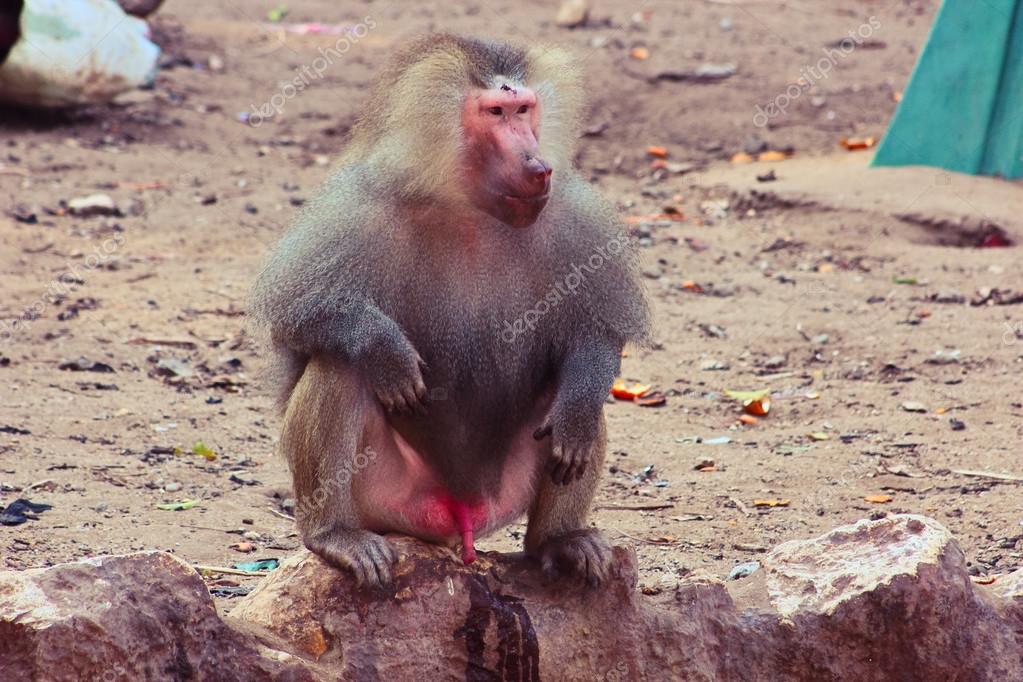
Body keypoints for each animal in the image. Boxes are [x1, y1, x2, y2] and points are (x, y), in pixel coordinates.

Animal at [250, 34, 650, 588]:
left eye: (525, 109)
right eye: (496, 112)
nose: (538, 166)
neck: (468, 206)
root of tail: (459, 516)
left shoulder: (573, 214)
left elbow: (596, 336)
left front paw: (575, 417)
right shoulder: (359, 206)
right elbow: (299, 312)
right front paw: (388, 353)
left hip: (502, 492)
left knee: (572, 397)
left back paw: (561, 540)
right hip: (389, 499)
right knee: (341, 366)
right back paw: (336, 536)